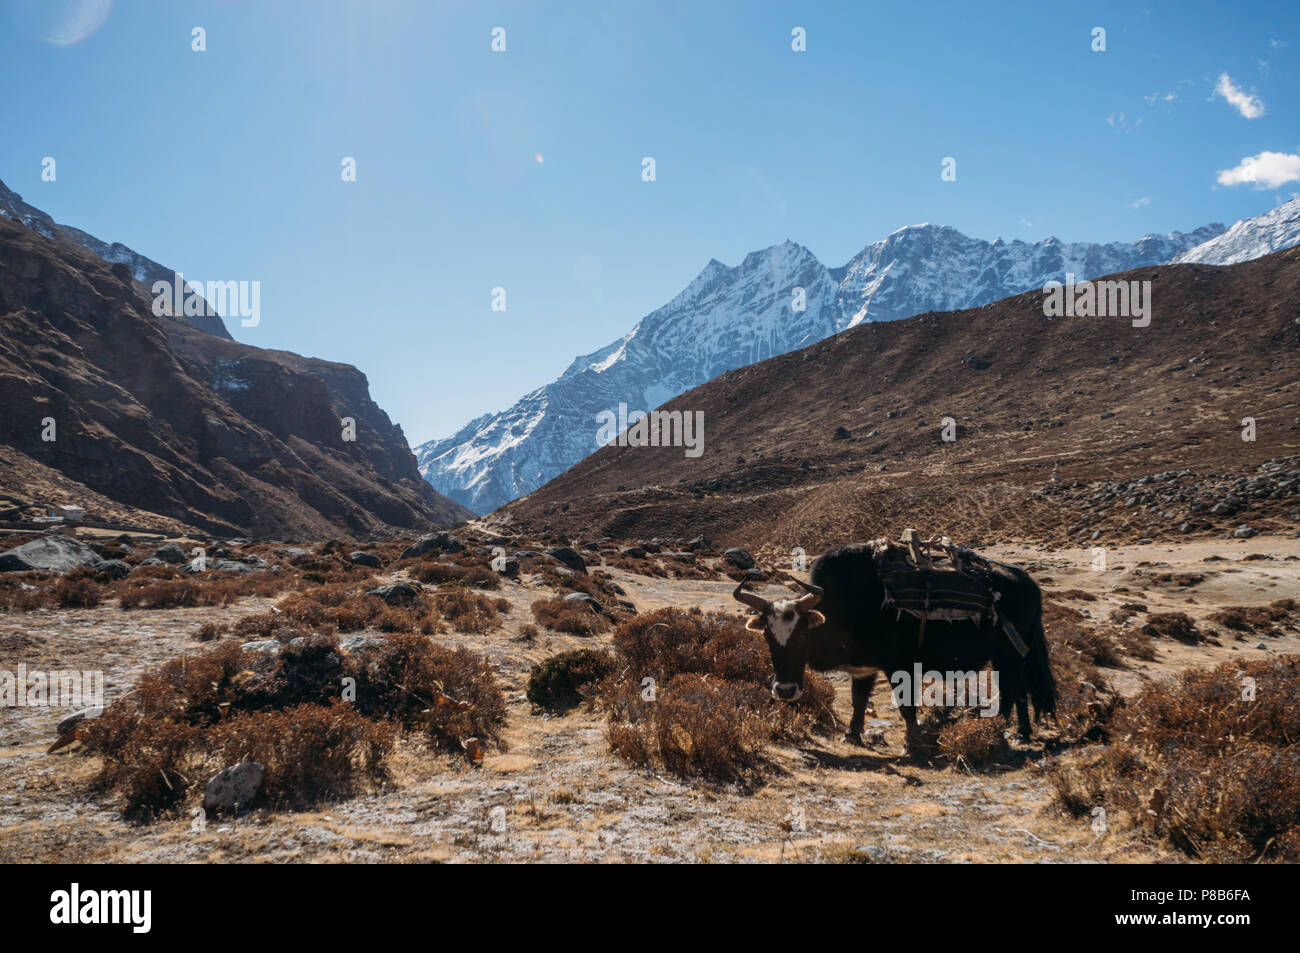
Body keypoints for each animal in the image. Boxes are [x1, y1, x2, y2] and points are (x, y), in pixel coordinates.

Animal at [734, 542, 1056, 753]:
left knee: (1015, 688)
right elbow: (859, 700)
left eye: (801, 635)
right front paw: (852, 735)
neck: (844, 609)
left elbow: (905, 704)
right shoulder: (863, 669)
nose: (785, 691)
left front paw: (911, 744)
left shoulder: (898, 664)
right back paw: (1014, 731)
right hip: (1006, 655)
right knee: (1017, 689)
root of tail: (1028, 582)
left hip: (1010, 654)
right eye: (768, 637)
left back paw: (1006, 731)